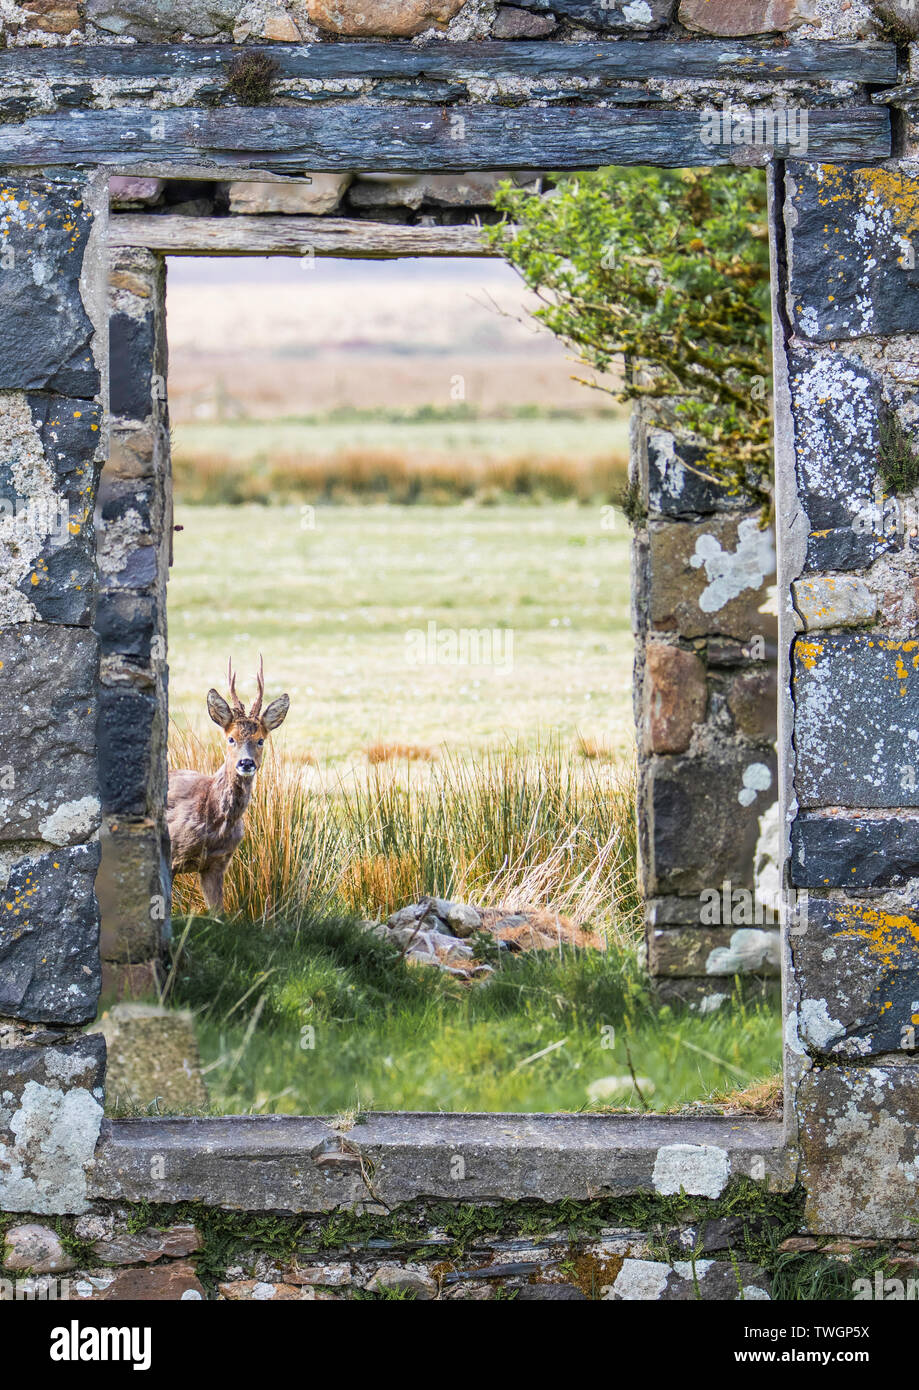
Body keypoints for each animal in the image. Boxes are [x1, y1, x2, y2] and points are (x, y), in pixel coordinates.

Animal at [167, 656, 290, 913]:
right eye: (231, 738)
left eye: (261, 740)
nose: (246, 762)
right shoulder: (171, 854)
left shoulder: (217, 863)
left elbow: (218, 914)